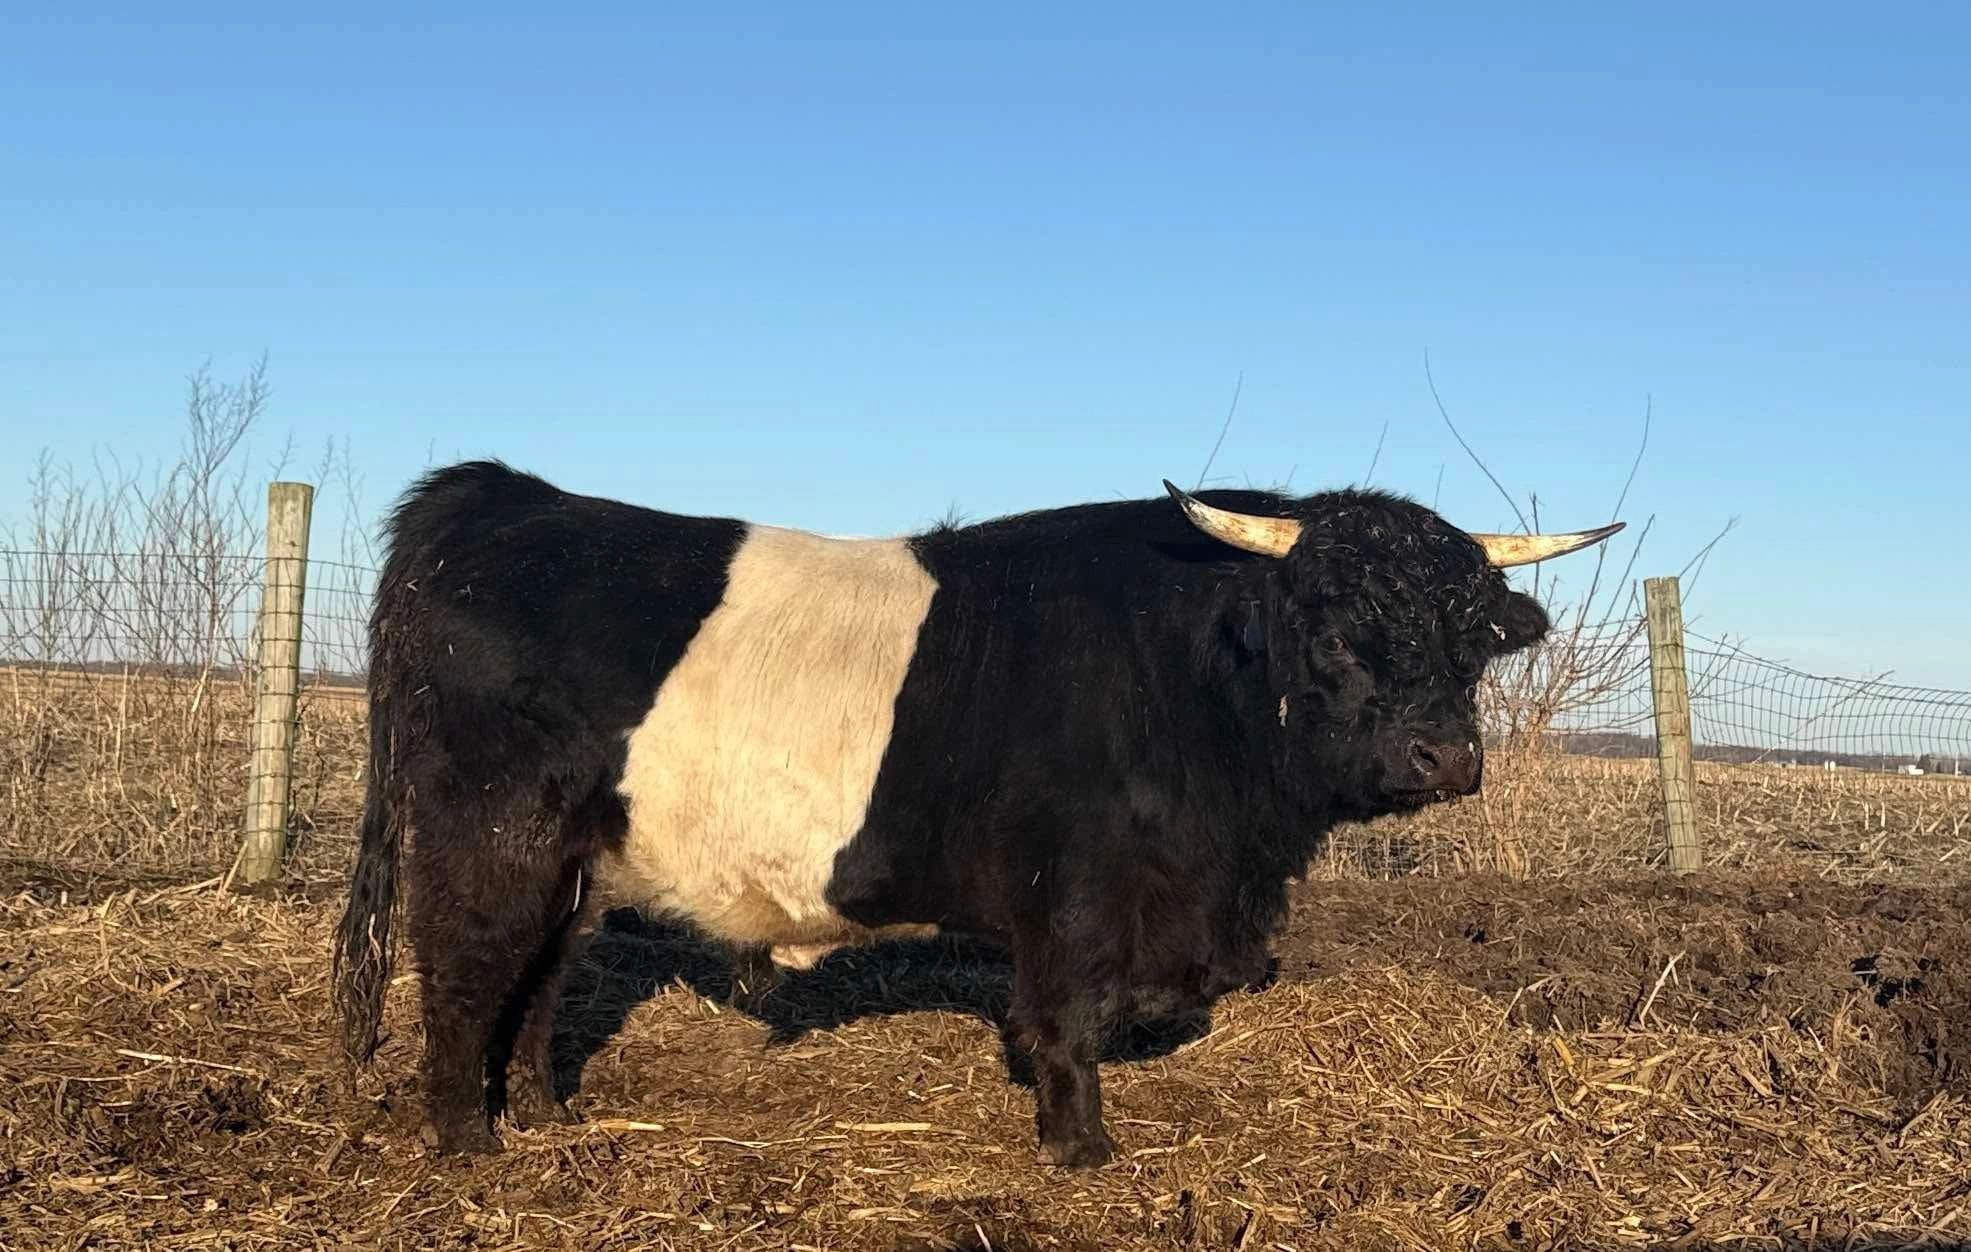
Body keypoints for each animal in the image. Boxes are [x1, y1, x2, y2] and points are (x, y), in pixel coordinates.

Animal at [332, 461, 1620, 1167]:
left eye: (1473, 640)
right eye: (1338, 630)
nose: (1444, 756)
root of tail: (501, 496)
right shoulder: (1073, 892)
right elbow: (1067, 1019)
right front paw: (1081, 1145)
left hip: (576, 853)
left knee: (541, 976)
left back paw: (548, 1117)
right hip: (488, 832)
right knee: (465, 970)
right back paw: (468, 1139)